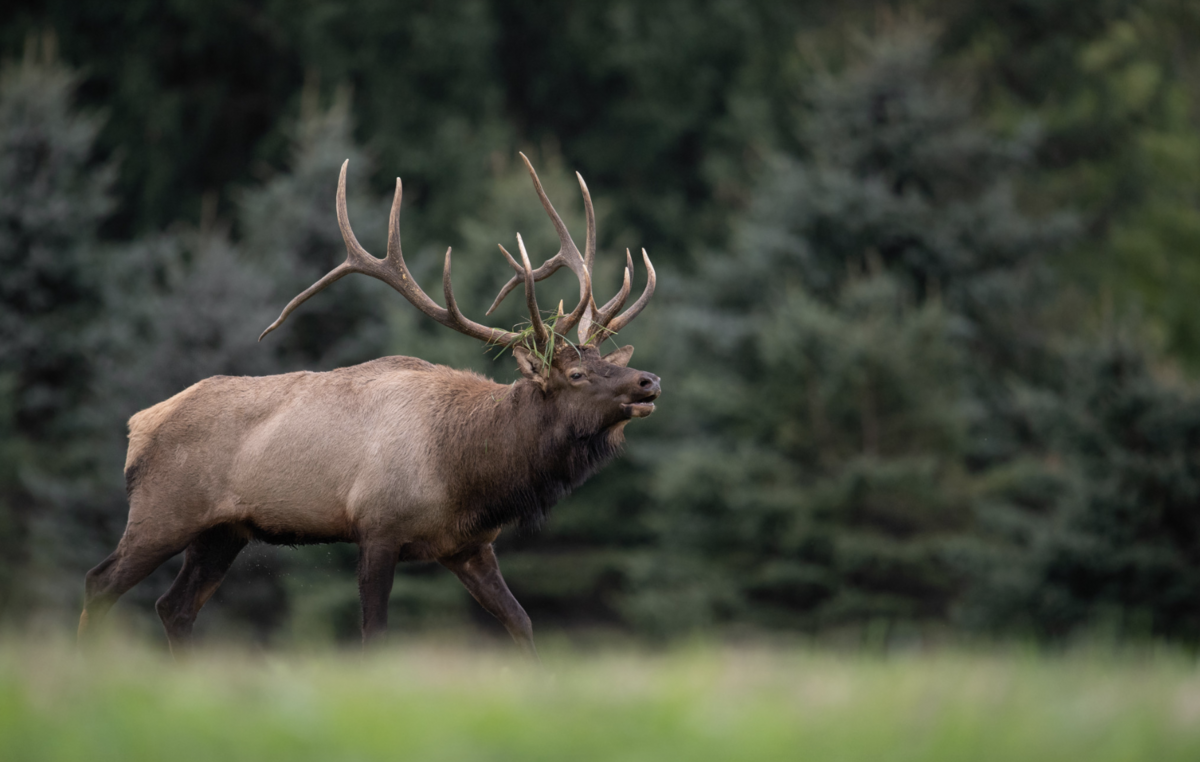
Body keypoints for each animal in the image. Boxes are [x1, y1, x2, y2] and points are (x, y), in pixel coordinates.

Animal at [77, 154, 659, 659]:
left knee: (173, 606)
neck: (469, 473)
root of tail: (139, 425)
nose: (649, 380)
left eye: (606, 359)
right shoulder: (378, 527)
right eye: (576, 374)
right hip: (163, 511)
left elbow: (522, 622)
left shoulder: (468, 546)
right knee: (99, 582)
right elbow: (373, 636)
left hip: (221, 532)